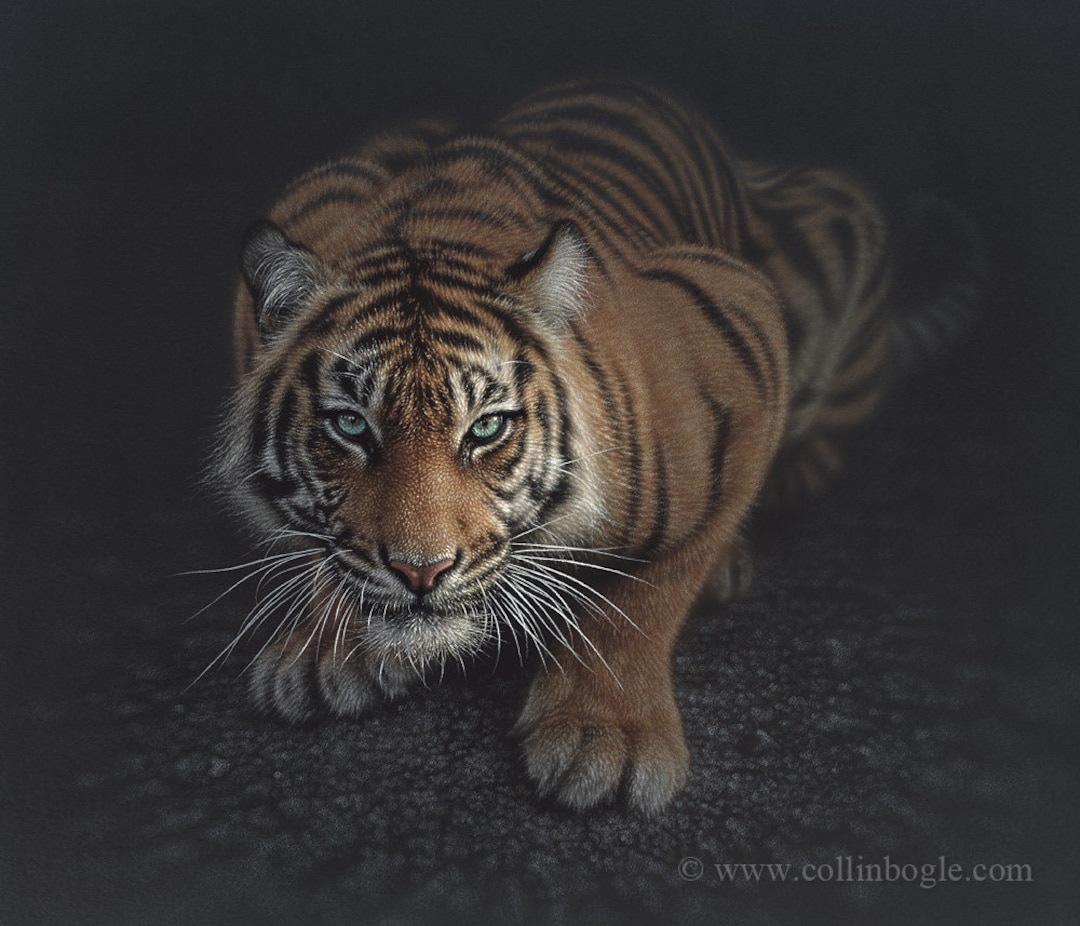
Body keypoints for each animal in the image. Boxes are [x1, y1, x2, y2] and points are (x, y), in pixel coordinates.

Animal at [211, 78, 976, 814]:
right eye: (350, 426)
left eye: (486, 428)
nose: (420, 573)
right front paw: (324, 646)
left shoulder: (744, 332)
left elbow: (647, 590)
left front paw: (608, 737)